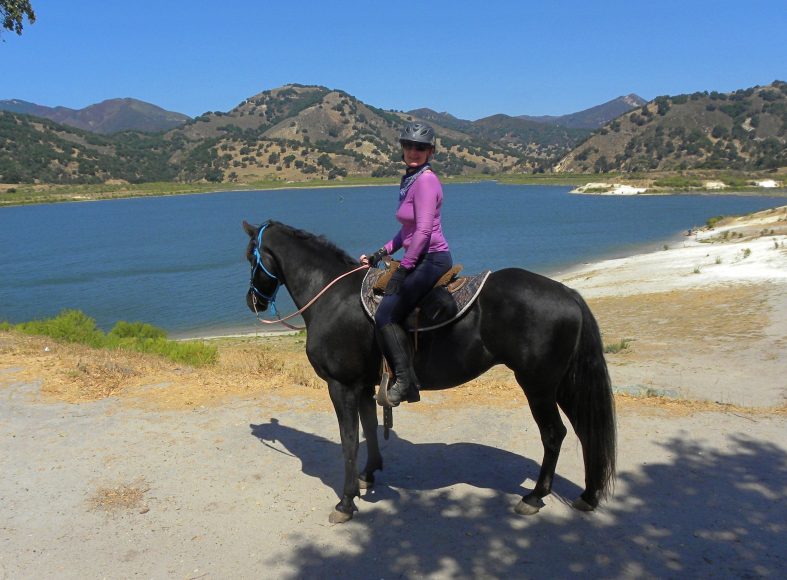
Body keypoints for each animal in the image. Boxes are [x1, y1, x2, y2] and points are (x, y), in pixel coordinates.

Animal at [243, 219, 616, 524]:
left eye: (250, 257)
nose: (253, 301)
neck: (332, 297)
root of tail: (566, 291)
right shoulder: (363, 386)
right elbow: (370, 428)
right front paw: (369, 475)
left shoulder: (341, 386)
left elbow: (348, 440)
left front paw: (346, 502)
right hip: (561, 384)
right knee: (585, 431)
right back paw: (587, 495)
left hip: (537, 386)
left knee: (554, 435)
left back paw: (535, 496)